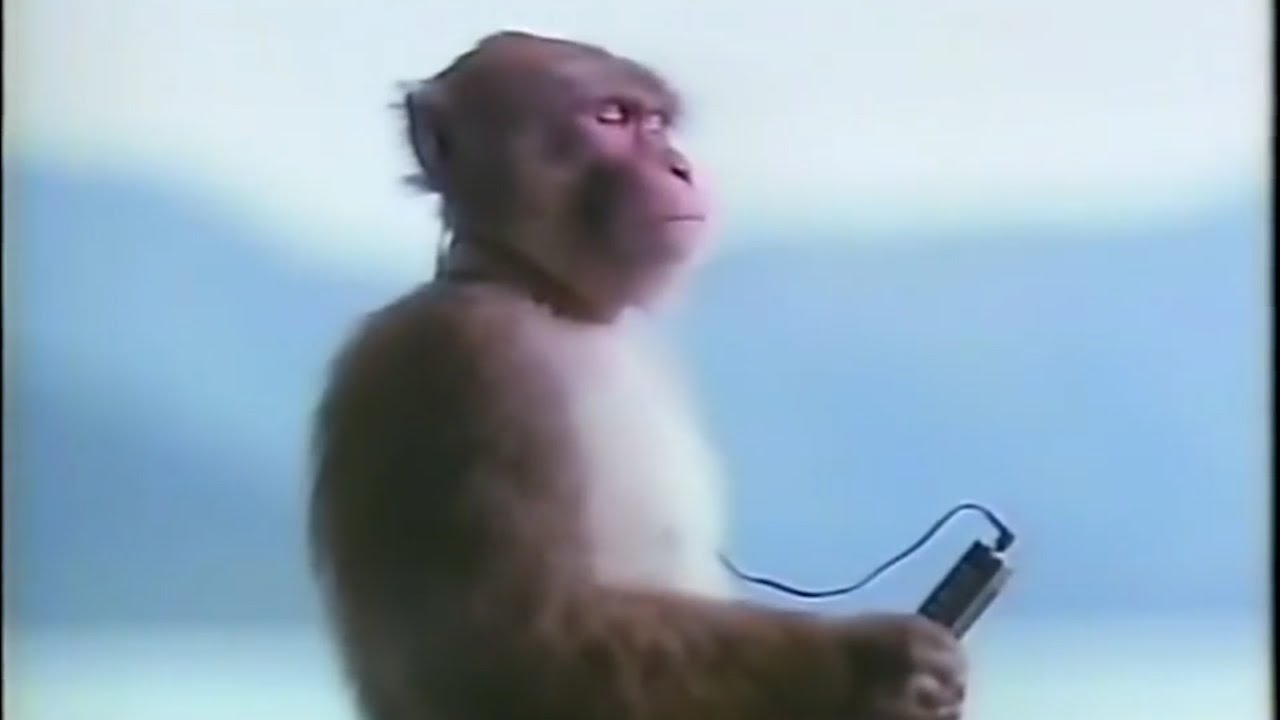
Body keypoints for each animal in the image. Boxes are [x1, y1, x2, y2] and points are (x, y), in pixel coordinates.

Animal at [309, 31, 967, 720]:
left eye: (656, 123)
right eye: (611, 117)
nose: (678, 166)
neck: (544, 295)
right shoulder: (468, 362)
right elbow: (501, 648)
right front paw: (877, 661)